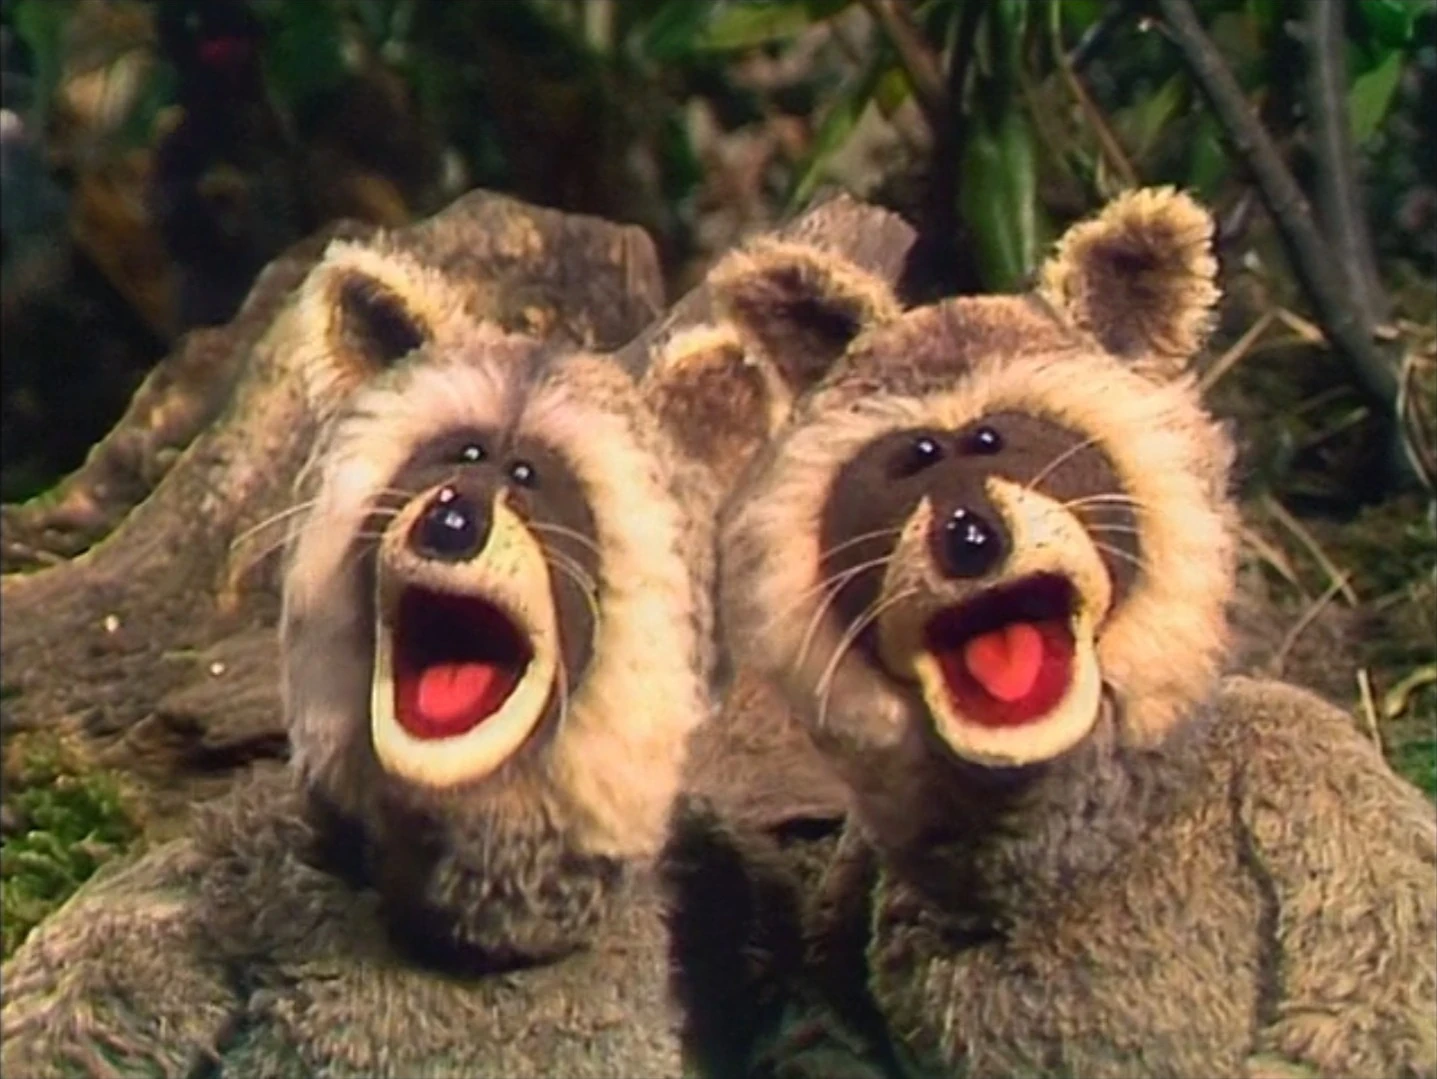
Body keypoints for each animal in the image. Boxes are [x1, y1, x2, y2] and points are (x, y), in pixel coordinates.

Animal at [712, 188, 1437, 1079]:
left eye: (996, 440)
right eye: (914, 457)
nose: (969, 535)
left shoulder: (1303, 763)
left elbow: (1366, 1013)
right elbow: (822, 1020)